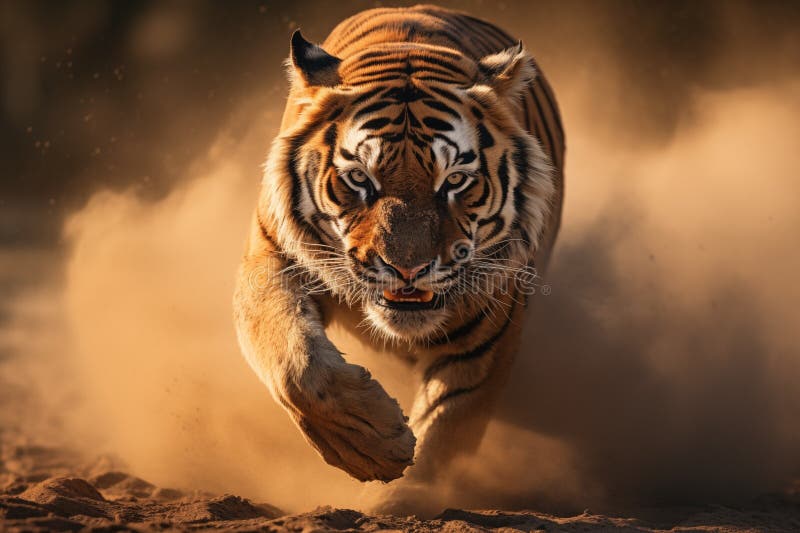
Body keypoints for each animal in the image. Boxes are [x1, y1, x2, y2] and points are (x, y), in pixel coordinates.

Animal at [233, 4, 564, 489]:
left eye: (455, 180)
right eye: (359, 178)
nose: (408, 269)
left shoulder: (489, 326)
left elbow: (446, 430)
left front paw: (406, 482)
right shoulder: (272, 257)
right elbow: (295, 364)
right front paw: (370, 444)